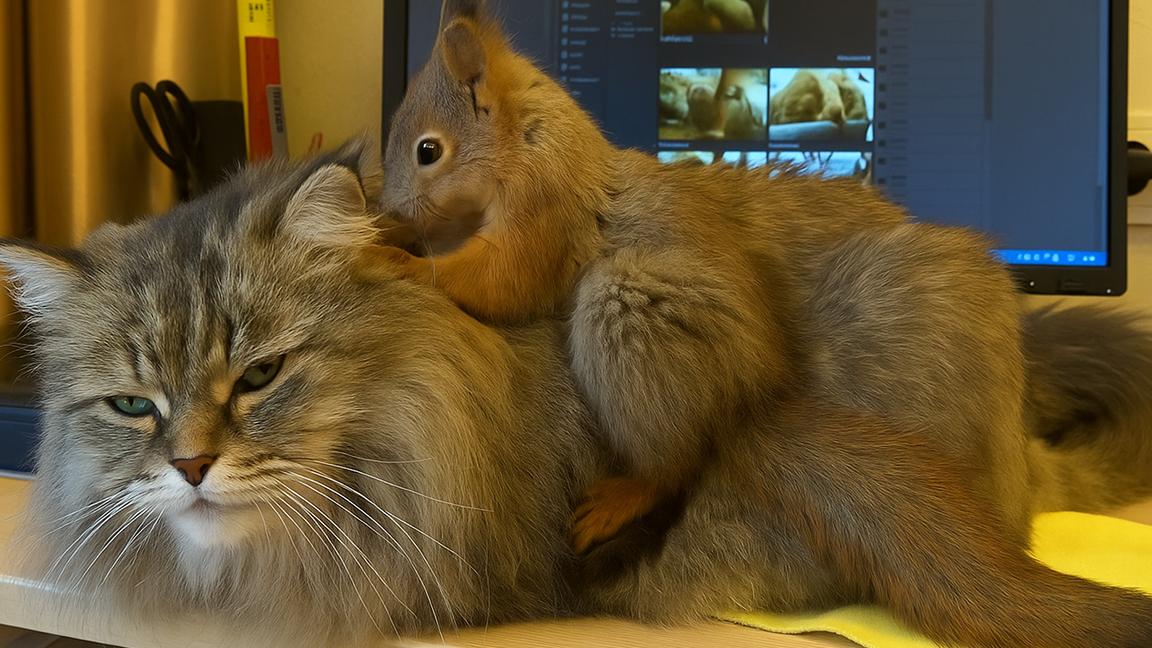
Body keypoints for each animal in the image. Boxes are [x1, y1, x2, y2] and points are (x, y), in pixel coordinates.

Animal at [378, 0, 909, 554]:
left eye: (428, 151)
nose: (390, 209)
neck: (524, 138)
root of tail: (754, 398)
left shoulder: (542, 204)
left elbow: (503, 278)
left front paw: (392, 256)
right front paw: (393, 235)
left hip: (632, 313)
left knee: (672, 468)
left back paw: (620, 500)